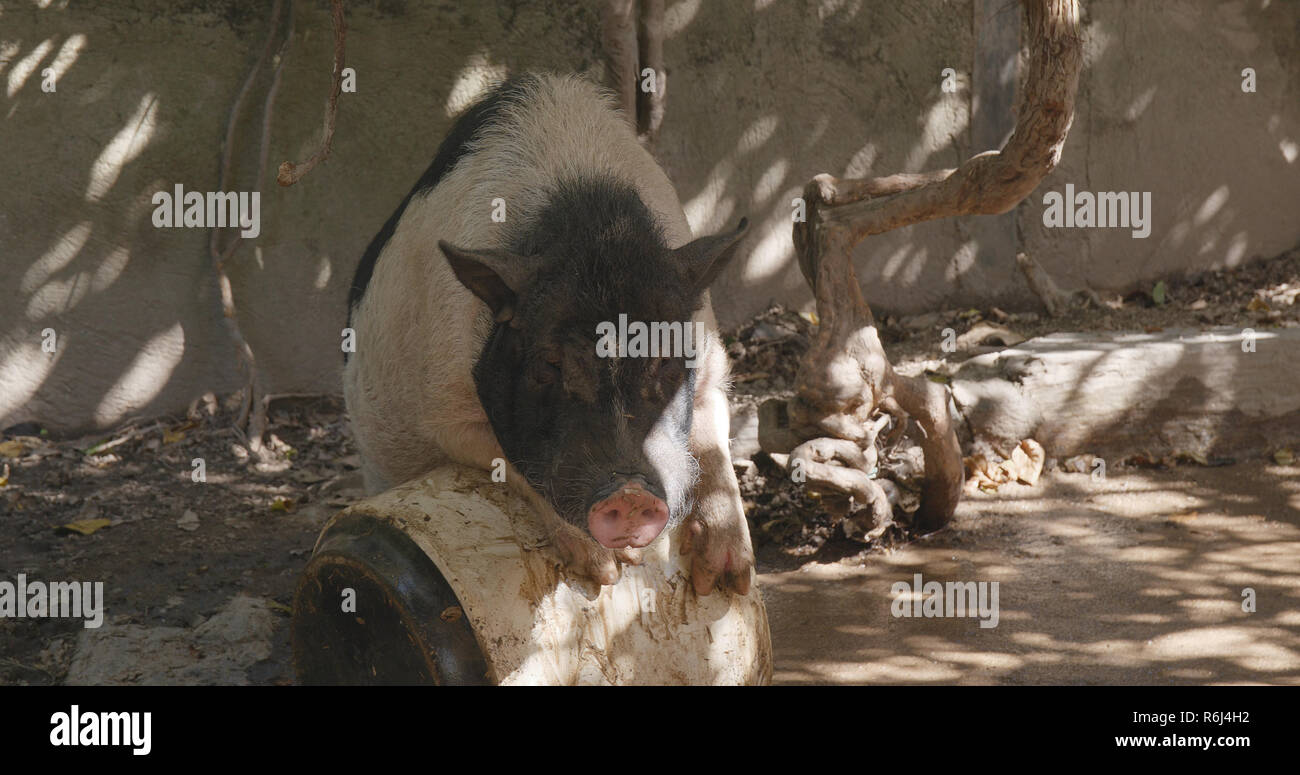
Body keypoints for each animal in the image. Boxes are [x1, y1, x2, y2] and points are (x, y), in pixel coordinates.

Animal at [343, 74, 752, 595]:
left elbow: (714, 445)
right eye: (550, 364)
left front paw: (726, 582)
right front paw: (608, 572)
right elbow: (512, 461)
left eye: (664, 359)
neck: (594, 230)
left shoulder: (713, 363)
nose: (631, 493)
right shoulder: (443, 404)